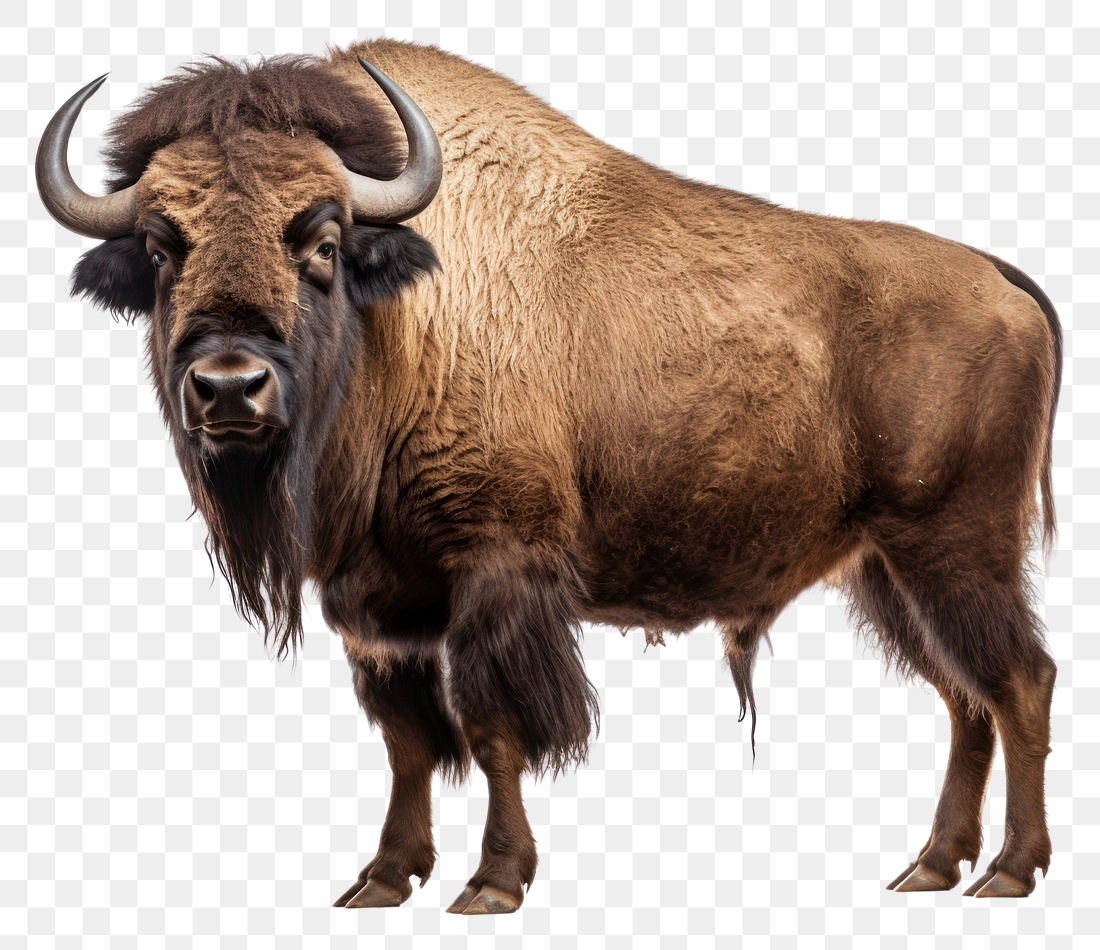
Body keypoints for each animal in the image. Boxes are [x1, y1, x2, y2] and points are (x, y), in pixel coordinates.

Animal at [36, 40, 1060, 913]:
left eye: (321, 241)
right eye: (161, 246)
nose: (228, 386)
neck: (403, 313)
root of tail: (1001, 280)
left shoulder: (496, 571)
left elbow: (494, 729)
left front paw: (492, 883)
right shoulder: (376, 608)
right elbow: (410, 740)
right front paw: (383, 878)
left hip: (954, 551)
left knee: (1019, 682)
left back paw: (1007, 872)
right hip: (889, 571)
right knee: (965, 696)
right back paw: (933, 867)